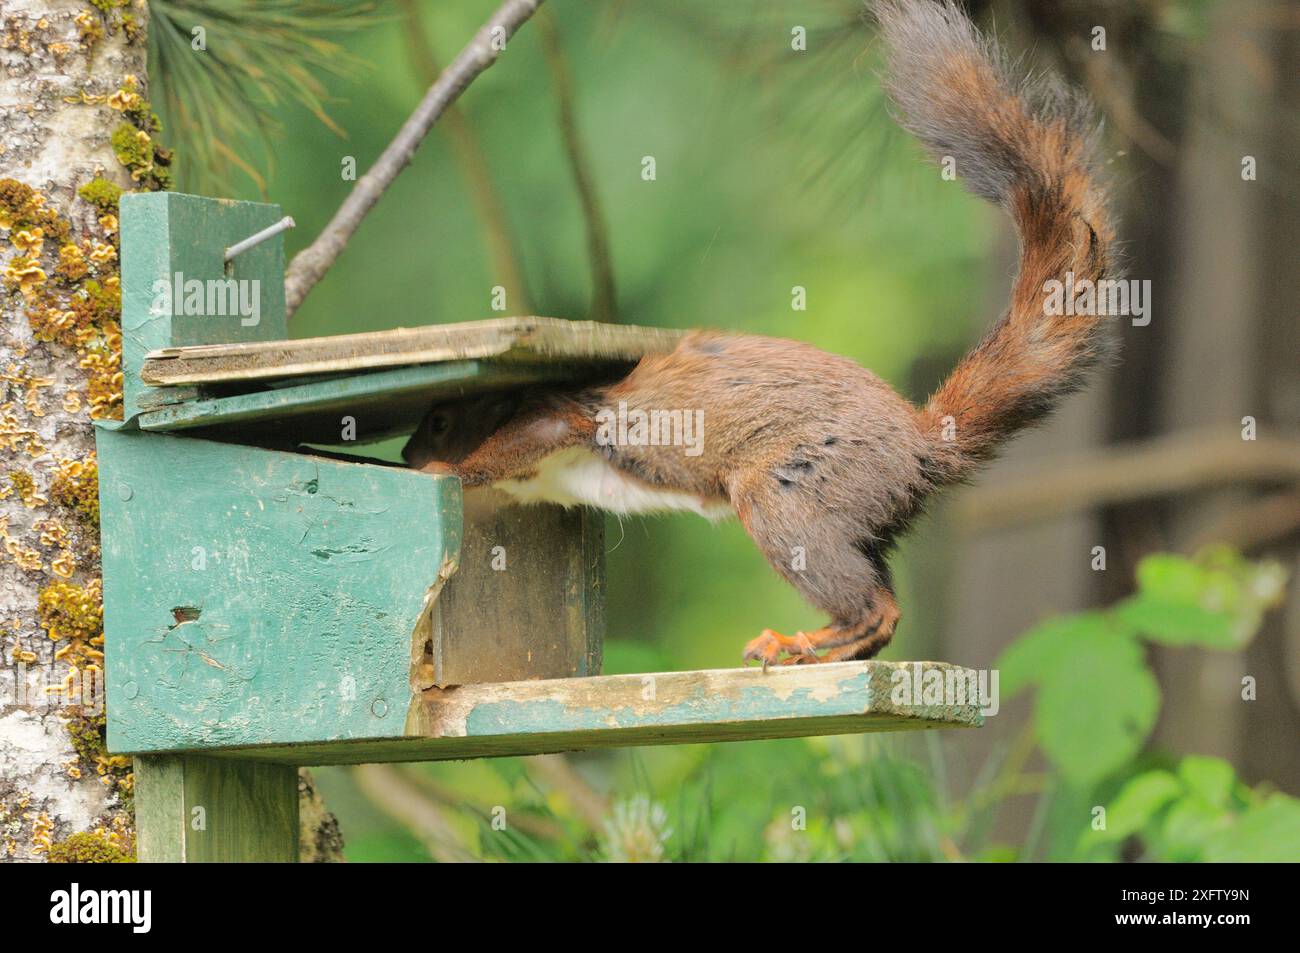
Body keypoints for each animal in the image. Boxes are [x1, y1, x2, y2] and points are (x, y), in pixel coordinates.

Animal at [402, 0, 1117, 668]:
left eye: (439, 417)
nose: (406, 456)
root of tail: (920, 446)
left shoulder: (561, 412)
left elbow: (513, 442)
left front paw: (445, 471)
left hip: (790, 494)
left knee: (875, 607)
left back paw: (799, 644)